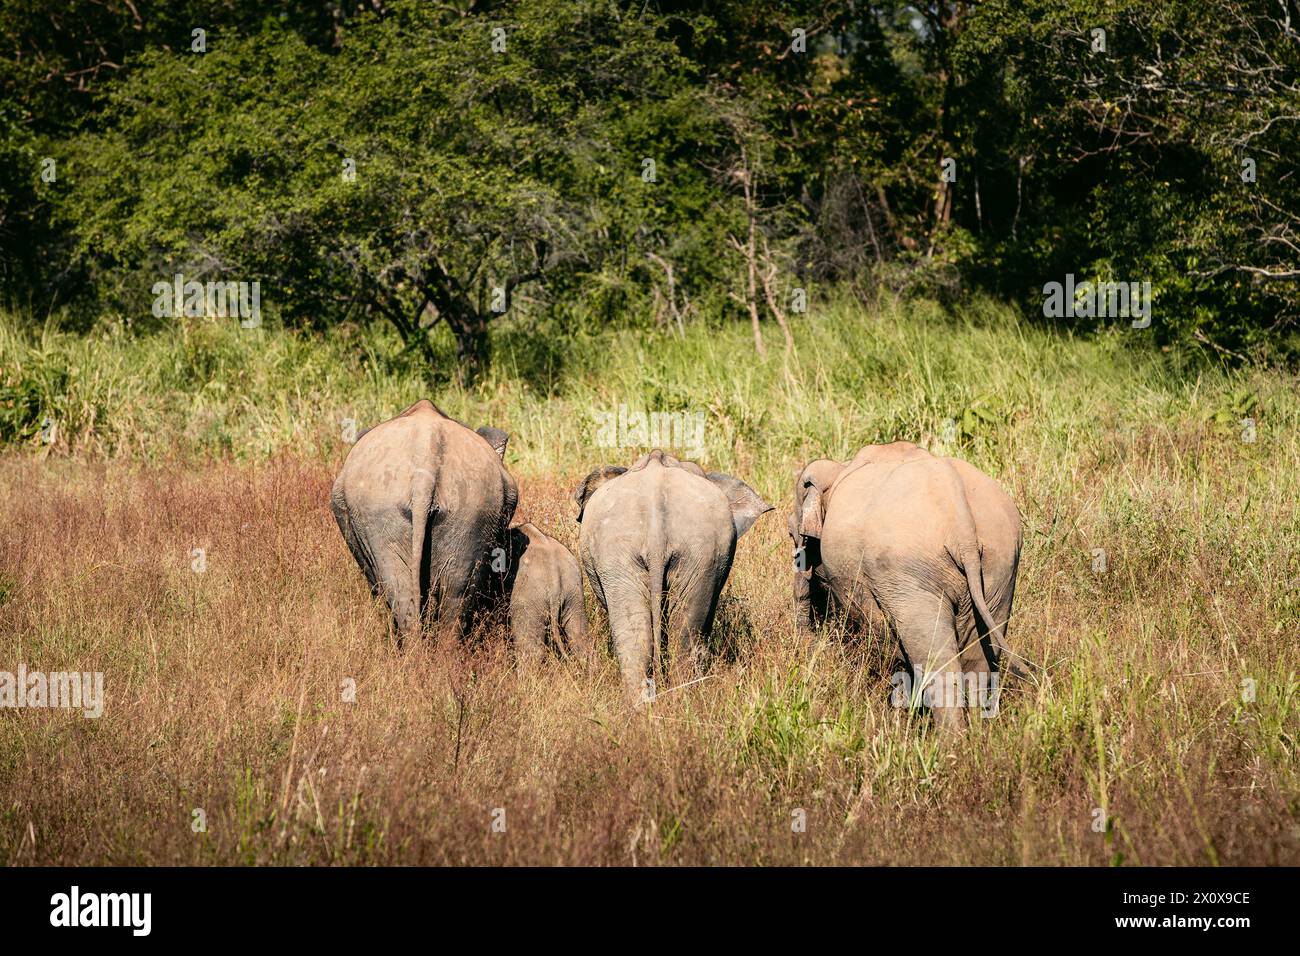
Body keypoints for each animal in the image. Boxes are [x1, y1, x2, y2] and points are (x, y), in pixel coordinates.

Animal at [790, 441, 1022, 730]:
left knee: (936, 658)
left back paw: (950, 739)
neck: (839, 467)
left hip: (910, 574)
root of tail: (964, 530)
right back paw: (977, 734)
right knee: (979, 657)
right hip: (999, 568)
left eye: (793, 534)